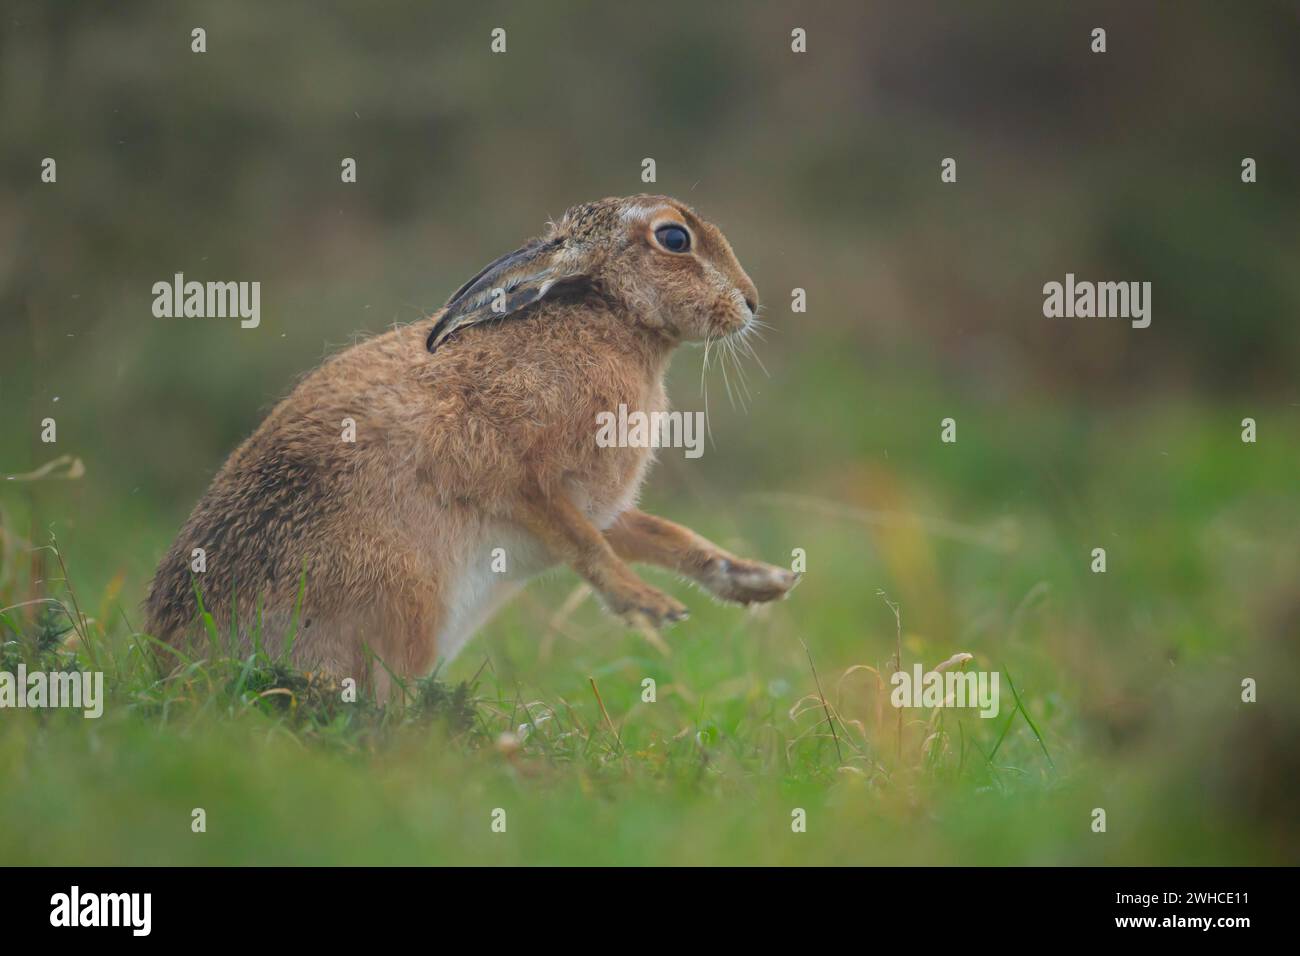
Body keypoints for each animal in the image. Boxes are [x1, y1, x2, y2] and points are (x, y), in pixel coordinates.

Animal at [145, 195, 799, 697]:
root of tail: (175, 659)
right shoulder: (524, 480)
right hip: (404, 592)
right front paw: (646, 605)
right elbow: (585, 545)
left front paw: (757, 581)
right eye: (674, 237)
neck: (608, 322)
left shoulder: (594, 506)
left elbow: (663, 534)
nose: (751, 301)